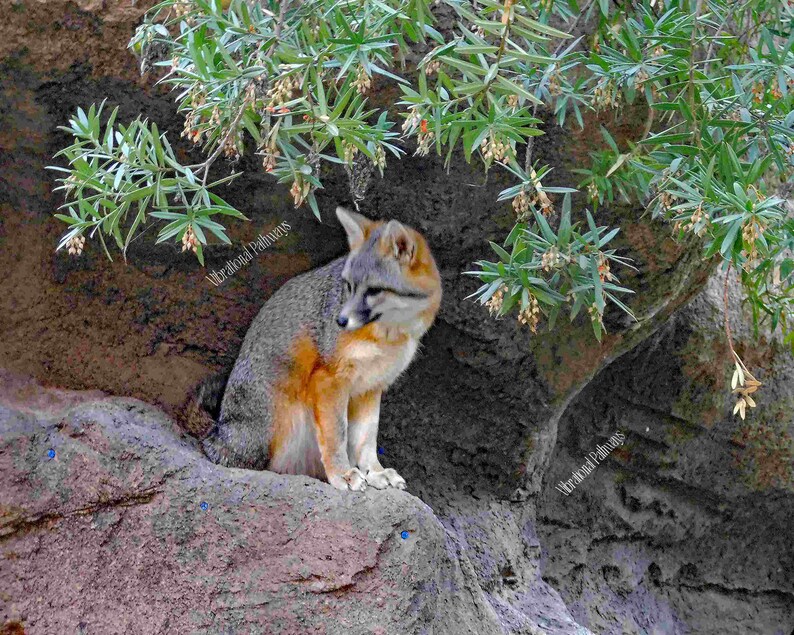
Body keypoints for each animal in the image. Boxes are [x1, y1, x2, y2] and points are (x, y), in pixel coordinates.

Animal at [201, 207, 442, 491]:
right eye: (348, 286)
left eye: (374, 290)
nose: (340, 320)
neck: (387, 339)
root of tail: (218, 430)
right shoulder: (330, 380)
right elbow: (337, 434)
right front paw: (343, 474)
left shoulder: (371, 387)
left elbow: (366, 438)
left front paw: (375, 472)